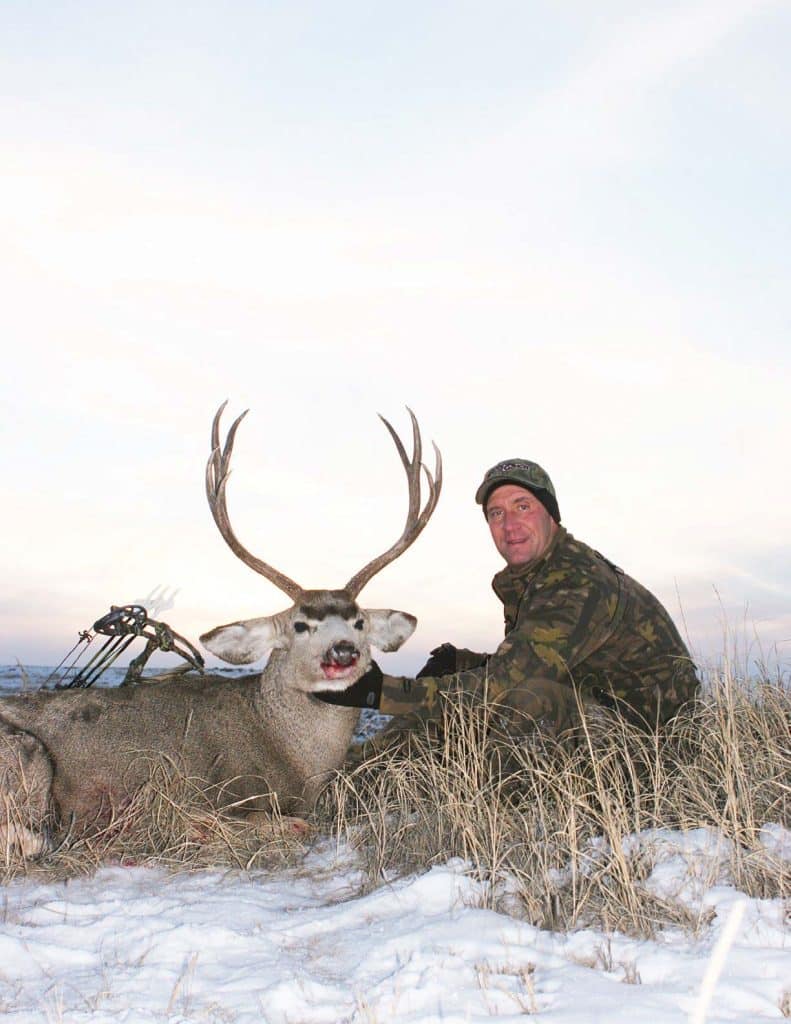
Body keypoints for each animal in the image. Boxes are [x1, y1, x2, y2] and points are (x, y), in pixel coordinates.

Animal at [0, 403, 441, 858]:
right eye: (300, 624)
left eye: (359, 622)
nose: (342, 650)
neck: (287, 750)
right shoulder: (211, 791)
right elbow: (290, 824)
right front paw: (192, 828)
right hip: (25, 754)